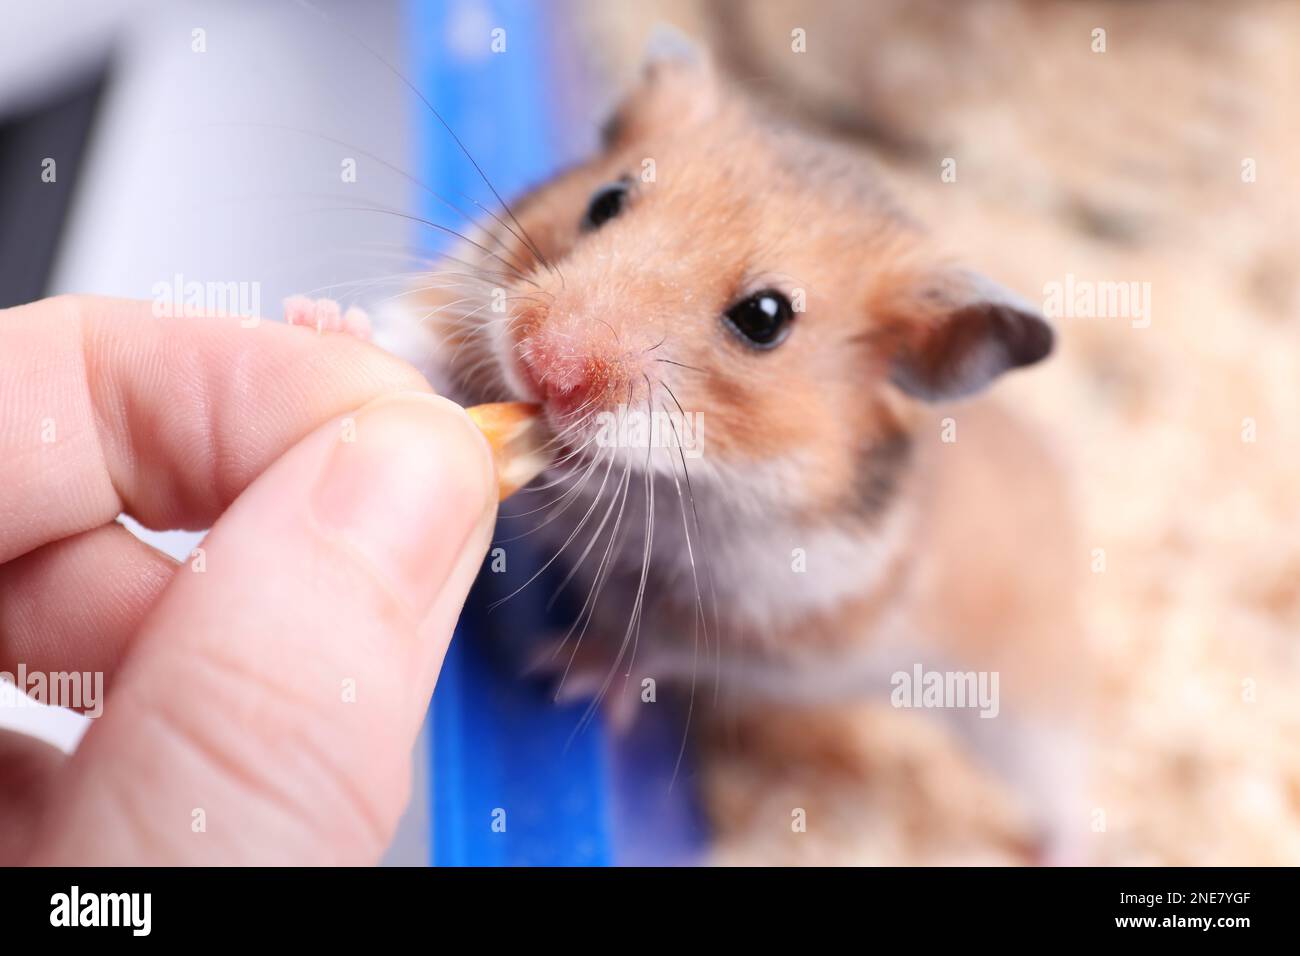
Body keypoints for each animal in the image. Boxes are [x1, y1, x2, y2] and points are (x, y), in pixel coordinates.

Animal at [411, 50, 1087, 863]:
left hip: (1027, 705)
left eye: (765, 318)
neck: (672, 488)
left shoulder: (757, 623)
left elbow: (650, 644)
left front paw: (558, 672)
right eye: (605, 200)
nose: (544, 368)